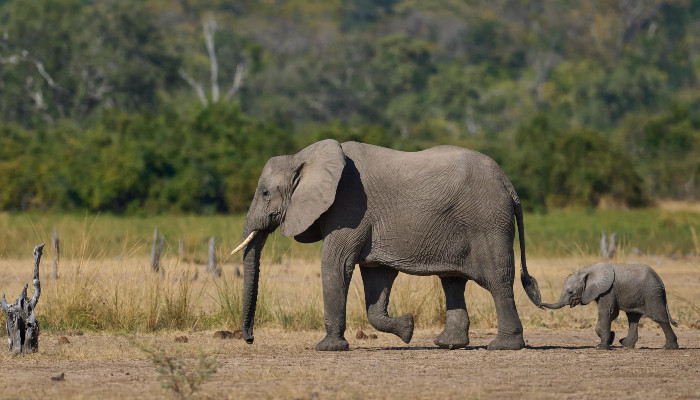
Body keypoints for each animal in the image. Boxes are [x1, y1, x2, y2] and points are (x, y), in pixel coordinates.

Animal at [231, 139, 542, 351]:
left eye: (265, 193)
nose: (249, 339)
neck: (303, 157)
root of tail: (509, 185)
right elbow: (376, 276)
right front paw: (408, 328)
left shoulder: (349, 207)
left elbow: (335, 264)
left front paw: (328, 348)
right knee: (452, 281)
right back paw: (447, 344)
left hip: (488, 222)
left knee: (497, 281)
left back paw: (502, 346)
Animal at [540, 263, 679, 350]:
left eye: (570, 292)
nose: (541, 304)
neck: (588, 270)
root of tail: (660, 281)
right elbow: (612, 314)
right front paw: (610, 338)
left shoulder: (608, 290)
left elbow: (605, 312)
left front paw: (600, 347)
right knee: (633, 317)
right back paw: (625, 344)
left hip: (652, 294)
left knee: (659, 317)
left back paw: (668, 348)